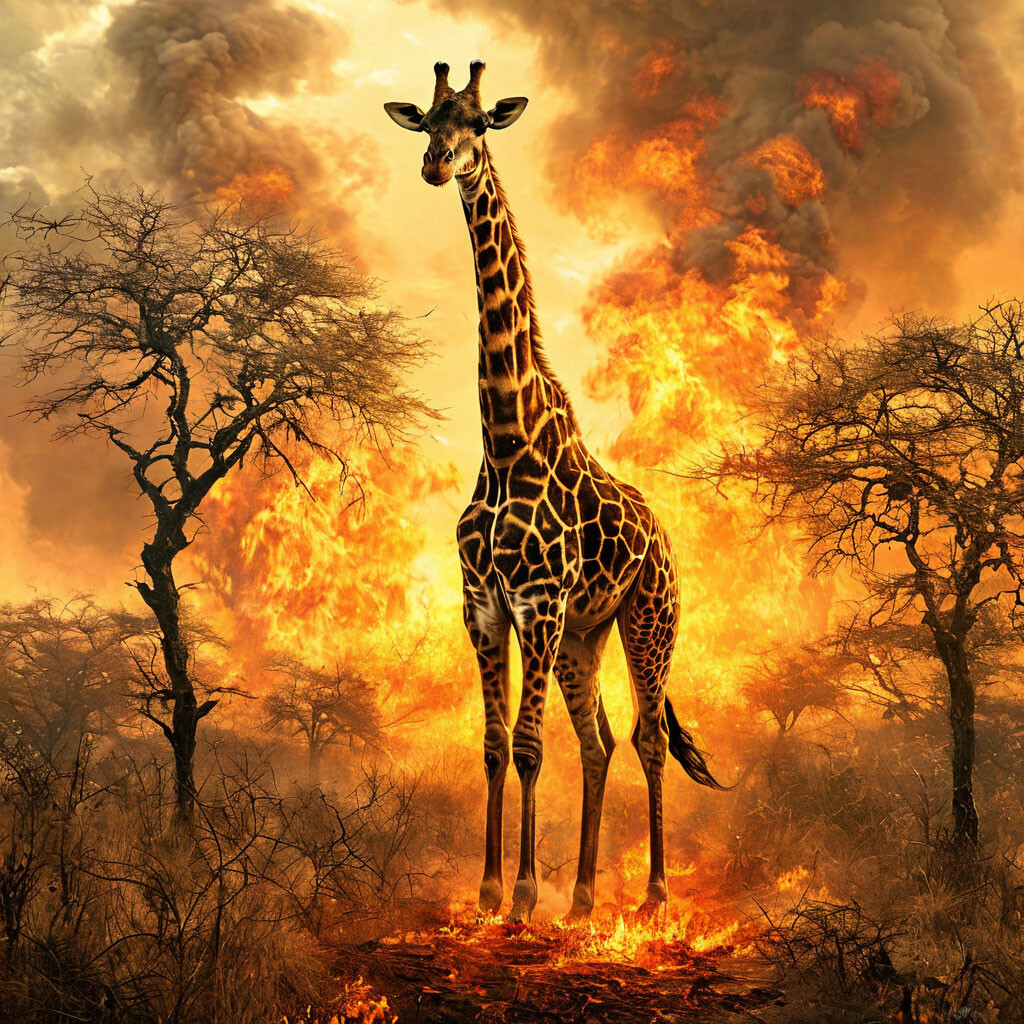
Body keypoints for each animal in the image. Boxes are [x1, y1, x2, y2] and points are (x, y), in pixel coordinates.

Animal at [385, 60, 725, 924]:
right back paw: (582, 899)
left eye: (479, 124)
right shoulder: (483, 608)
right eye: (428, 119)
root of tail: (666, 540)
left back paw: (652, 896)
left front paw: (523, 893)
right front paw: (490, 890)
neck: (506, 441)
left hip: (647, 620)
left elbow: (530, 746)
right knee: (598, 740)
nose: (435, 165)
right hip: (584, 633)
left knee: (645, 737)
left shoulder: (535, 603)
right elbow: (494, 745)